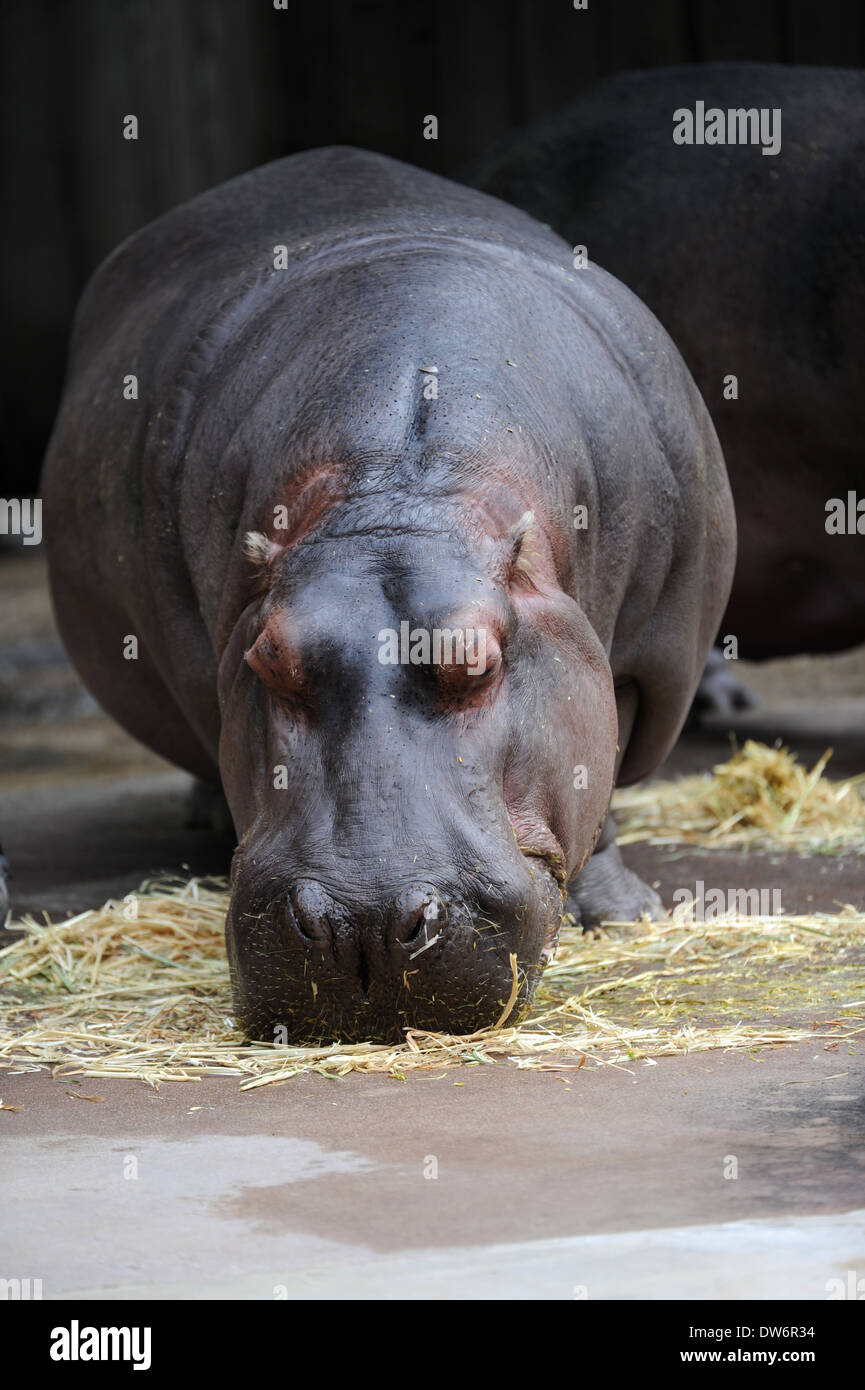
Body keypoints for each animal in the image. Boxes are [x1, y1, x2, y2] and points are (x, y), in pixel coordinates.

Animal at [42, 147, 734, 1042]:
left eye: (479, 664)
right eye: (267, 659)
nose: (357, 923)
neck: (404, 486)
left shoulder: (638, 661)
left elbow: (602, 775)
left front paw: (619, 916)